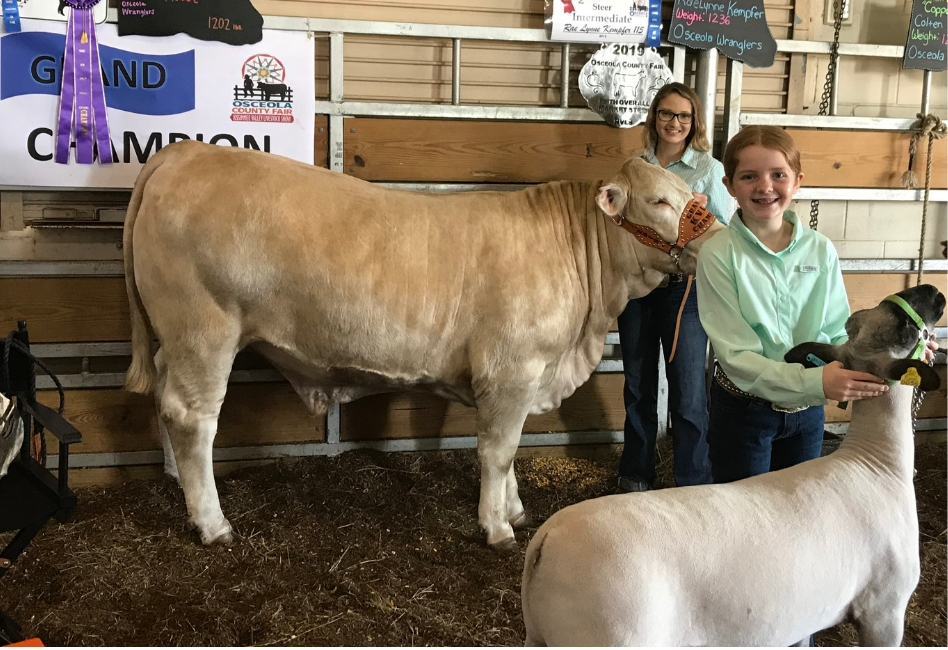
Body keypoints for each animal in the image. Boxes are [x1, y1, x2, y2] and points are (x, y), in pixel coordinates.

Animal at [520, 283, 944, 647]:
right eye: (906, 328)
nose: (933, 291)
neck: (875, 461)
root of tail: (546, 540)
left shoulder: (803, 618)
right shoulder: (885, 609)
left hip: (538, 636)